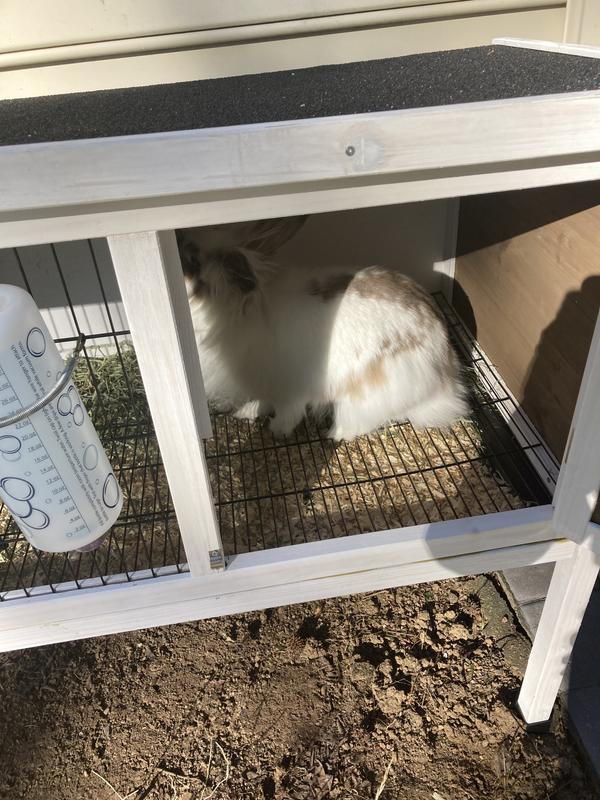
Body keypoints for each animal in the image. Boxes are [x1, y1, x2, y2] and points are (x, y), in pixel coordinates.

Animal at [177, 216, 468, 440]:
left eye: (193, 261)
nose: (178, 237)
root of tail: (446, 374)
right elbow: (263, 401)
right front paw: (247, 412)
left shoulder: (289, 388)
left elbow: (288, 412)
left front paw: (277, 430)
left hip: (367, 391)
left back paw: (336, 434)